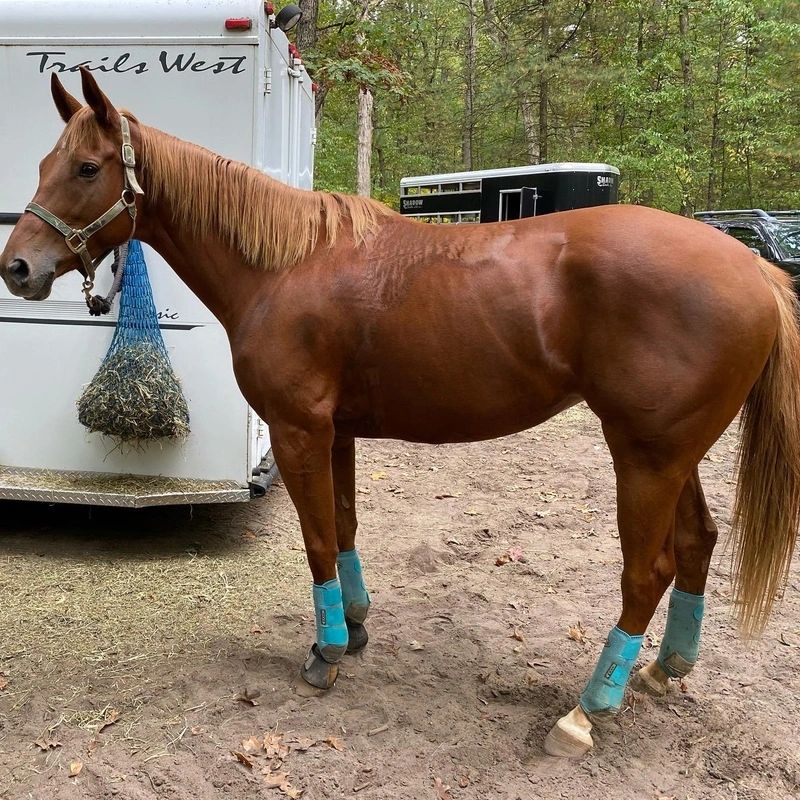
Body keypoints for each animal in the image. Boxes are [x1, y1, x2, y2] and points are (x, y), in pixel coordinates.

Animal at [2, 68, 798, 758]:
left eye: (86, 169)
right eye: (46, 161)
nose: (17, 268)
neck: (287, 266)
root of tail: (756, 268)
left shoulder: (298, 431)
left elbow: (317, 539)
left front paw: (324, 652)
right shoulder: (338, 432)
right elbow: (345, 527)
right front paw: (352, 628)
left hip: (644, 456)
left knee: (647, 570)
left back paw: (588, 709)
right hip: (671, 453)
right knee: (697, 543)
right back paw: (664, 669)